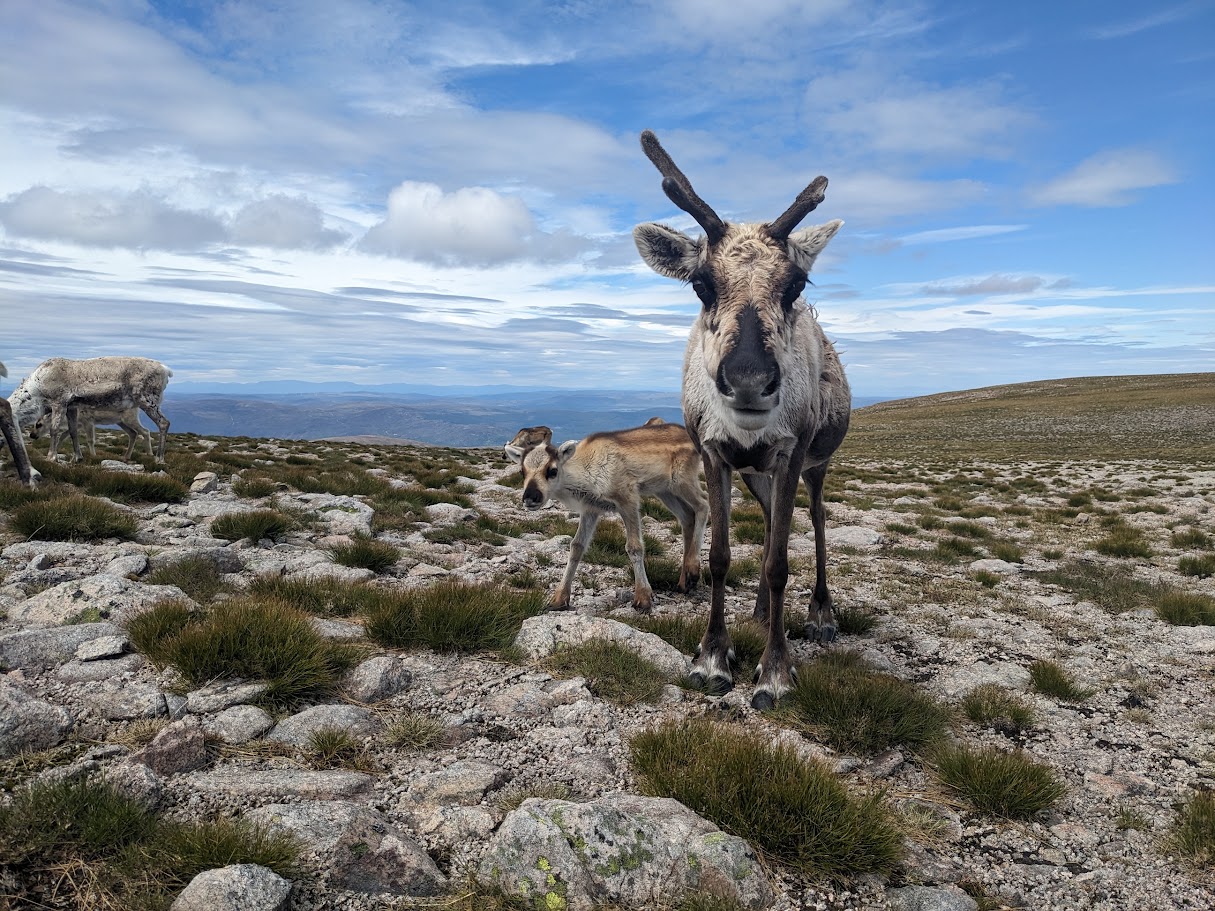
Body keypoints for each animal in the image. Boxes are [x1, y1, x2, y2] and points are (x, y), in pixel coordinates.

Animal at [512, 420, 708, 612]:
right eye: (522, 471)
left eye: (552, 470)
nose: (530, 498)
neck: (586, 473)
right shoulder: (591, 509)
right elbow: (577, 546)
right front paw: (559, 599)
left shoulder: (627, 499)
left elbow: (634, 547)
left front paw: (643, 598)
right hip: (665, 491)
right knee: (687, 516)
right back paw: (684, 582)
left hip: (683, 481)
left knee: (703, 504)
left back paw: (693, 569)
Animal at [633, 130, 851, 709]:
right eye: (701, 284)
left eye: (797, 285)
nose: (749, 379)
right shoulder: (716, 453)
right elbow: (720, 555)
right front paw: (712, 658)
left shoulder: (791, 453)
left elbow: (778, 562)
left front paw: (774, 671)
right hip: (757, 474)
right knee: (775, 521)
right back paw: (757, 612)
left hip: (814, 464)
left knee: (815, 521)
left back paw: (820, 614)